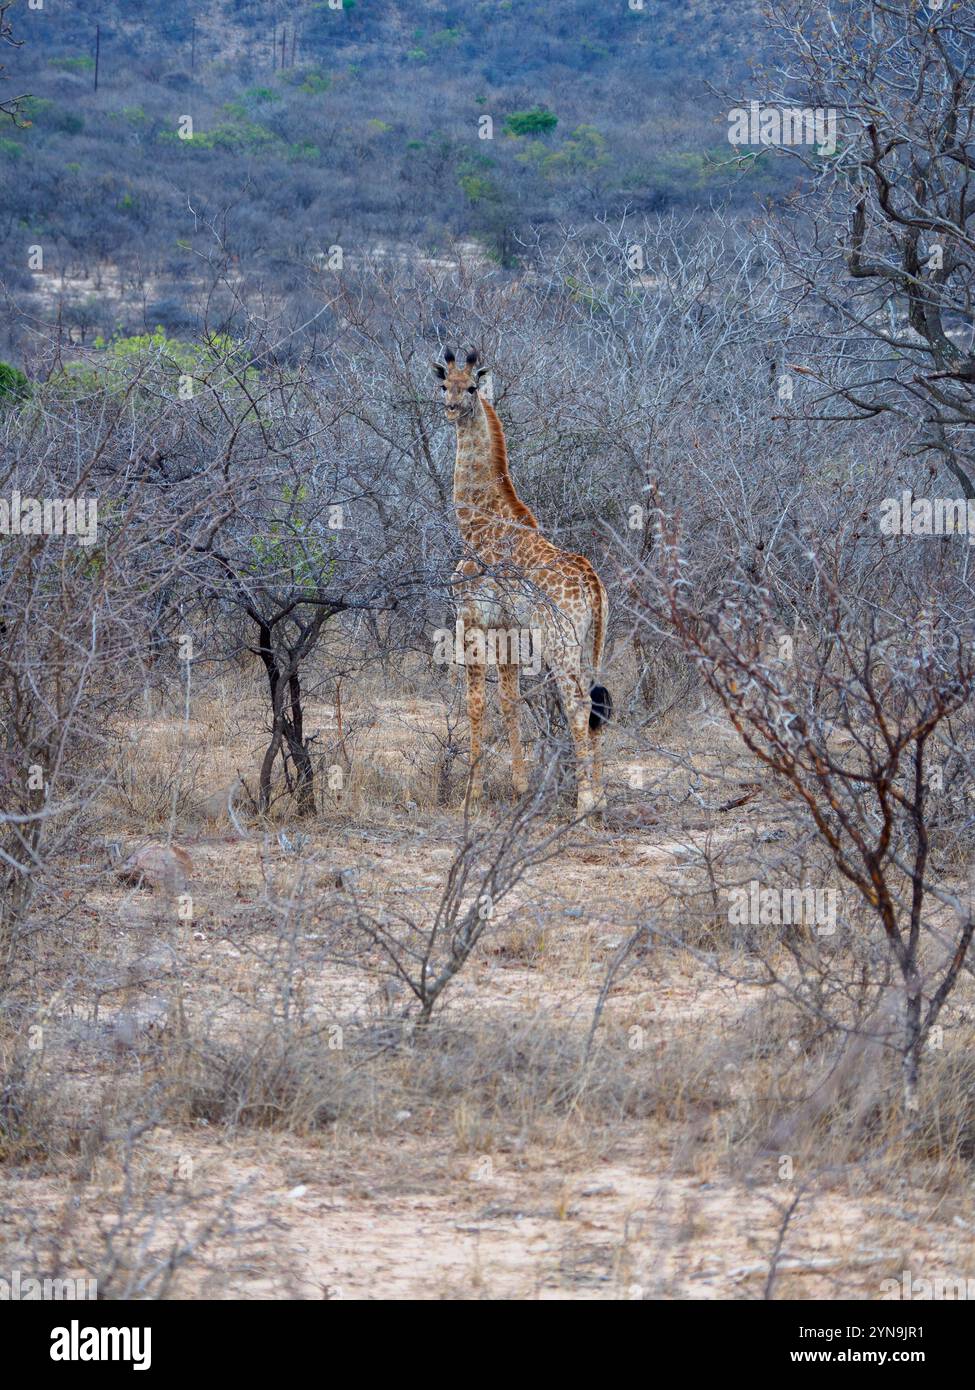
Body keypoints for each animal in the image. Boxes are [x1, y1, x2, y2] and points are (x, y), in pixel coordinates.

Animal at [432, 347, 612, 816]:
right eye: (444, 384)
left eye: (471, 387)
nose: (451, 408)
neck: (476, 526)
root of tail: (593, 585)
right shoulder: (507, 628)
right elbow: (509, 700)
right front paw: (518, 788)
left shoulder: (471, 619)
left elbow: (476, 703)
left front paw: (472, 795)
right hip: (592, 642)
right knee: (595, 704)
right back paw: (601, 797)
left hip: (560, 642)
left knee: (576, 703)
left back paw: (585, 802)